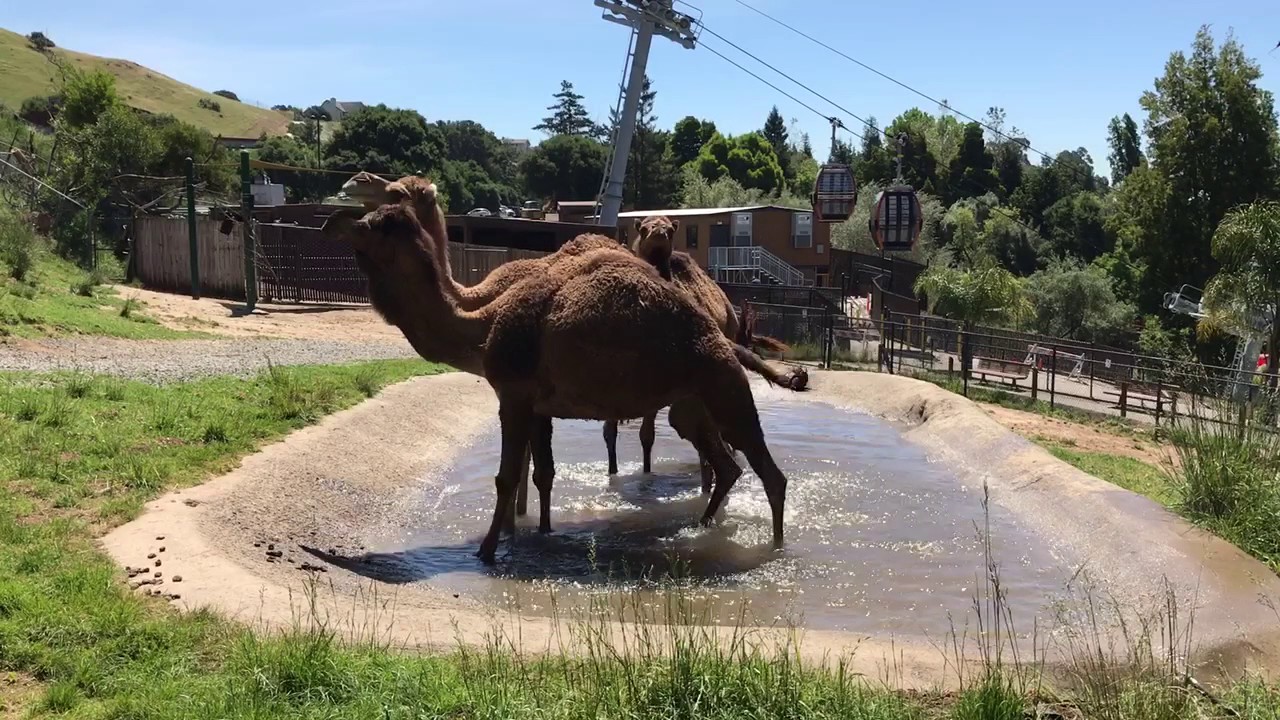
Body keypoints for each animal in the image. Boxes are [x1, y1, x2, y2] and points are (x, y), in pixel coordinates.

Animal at [321, 196, 791, 565]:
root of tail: (723, 334)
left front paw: (487, 551)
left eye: (380, 223)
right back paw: (701, 527)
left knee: (770, 474)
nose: (332, 221)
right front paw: (532, 534)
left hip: (722, 384)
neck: (483, 324)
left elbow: (506, 477)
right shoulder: (536, 405)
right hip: (694, 402)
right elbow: (538, 473)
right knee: (728, 465)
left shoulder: (512, 395)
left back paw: (774, 549)